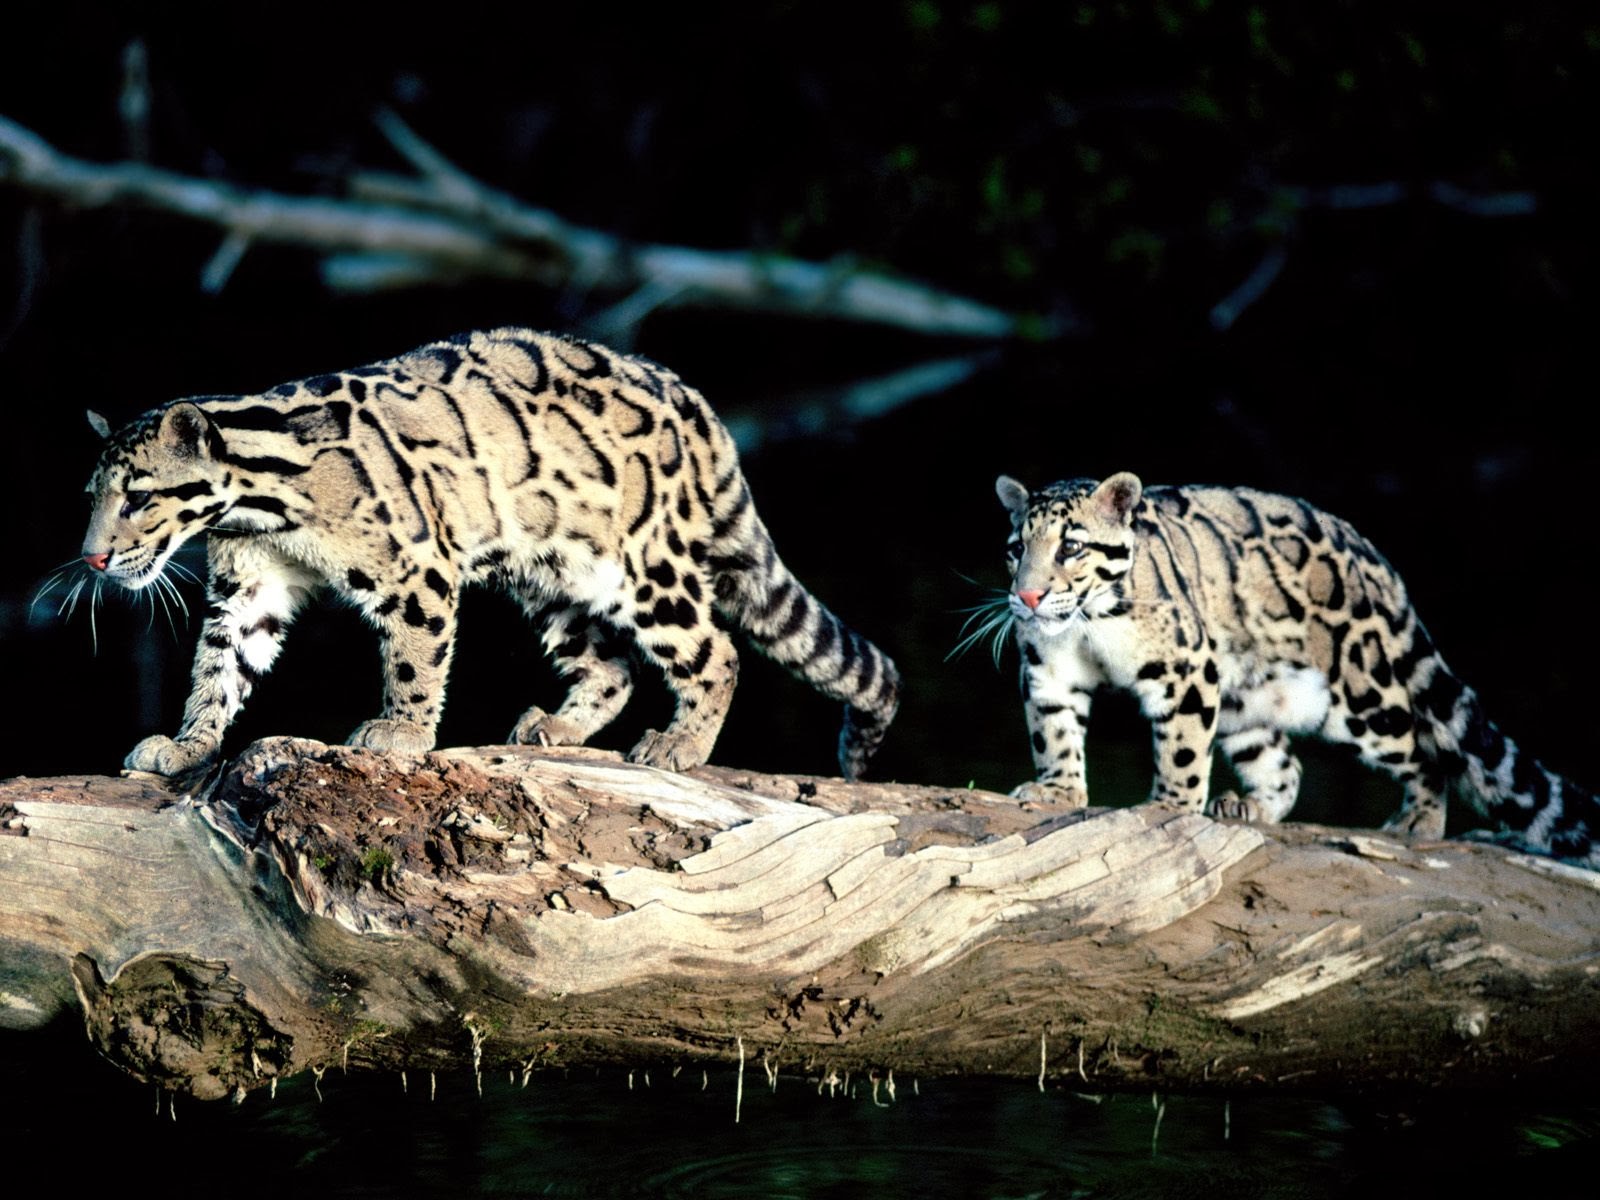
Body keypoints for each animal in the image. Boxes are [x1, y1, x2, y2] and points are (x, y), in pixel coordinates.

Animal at [77, 328, 901, 780]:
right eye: (93, 494)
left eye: (139, 497)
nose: (92, 560)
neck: (260, 501)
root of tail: (701, 411)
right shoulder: (247, 588)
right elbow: (218, 670)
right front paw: (189, 745)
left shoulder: (416, 567)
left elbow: (414, 660)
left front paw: (402, 734)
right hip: (555, 575)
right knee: (613, 666)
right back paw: (558, 728)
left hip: (646, 564)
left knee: (715, 650)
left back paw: (681, 744)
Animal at [964, 470, 1597, 867]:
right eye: (1016, 548)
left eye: (1070, 547)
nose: (1027, 598)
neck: (1086, 625)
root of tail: (1378, 562)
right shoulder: (1047, 669)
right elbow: (1054, 731)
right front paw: (1056, 791)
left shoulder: (1188, 668)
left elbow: (1182, 751)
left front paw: (1170, 808)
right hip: (1246, 699)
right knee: (1285, 766)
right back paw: (1250, 805)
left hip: (1361, 698)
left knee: (1424, 748)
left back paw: (1416, 820)